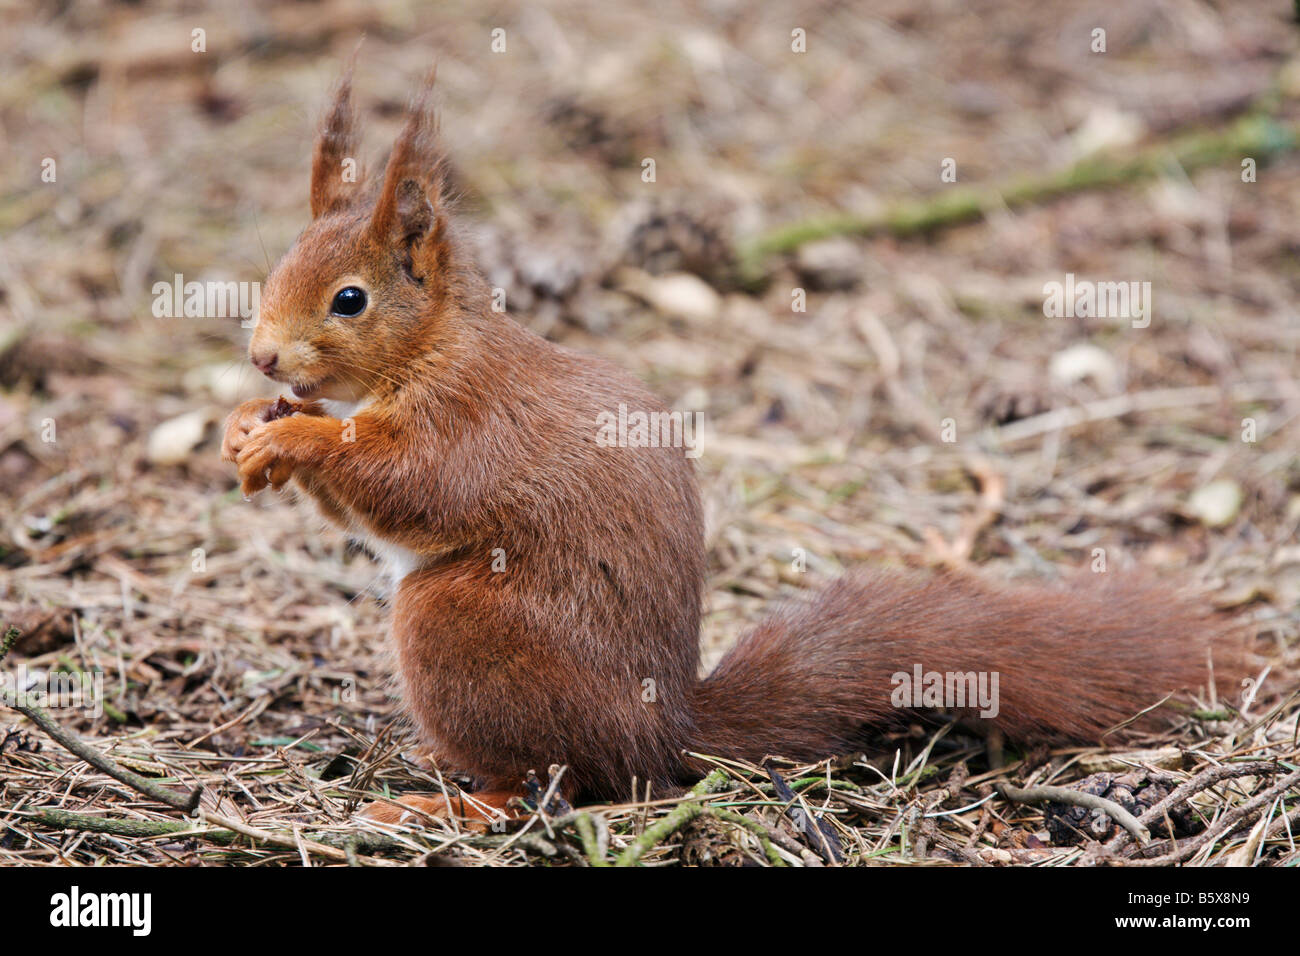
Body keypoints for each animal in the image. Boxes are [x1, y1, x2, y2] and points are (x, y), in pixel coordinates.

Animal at [221, 68, 1246, 826]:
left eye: (350, 299)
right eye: (275, 270)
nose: (263, 355)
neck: (430, 346)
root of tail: (664, 731)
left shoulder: (466, 416)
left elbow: (413, 484)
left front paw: (300, 433)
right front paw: (247, 426)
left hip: (460, 630)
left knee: (554, 781)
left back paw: (454, 804)